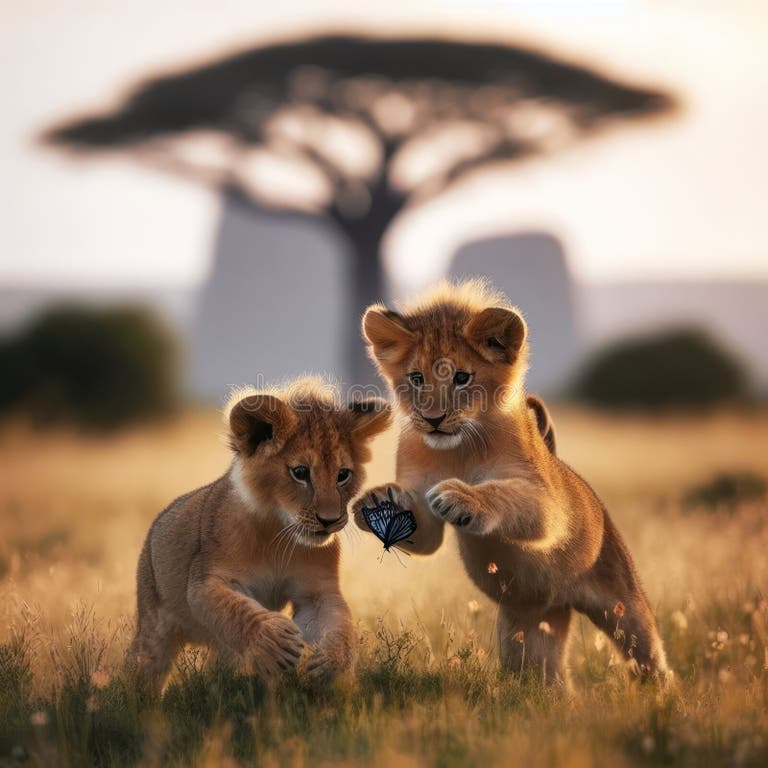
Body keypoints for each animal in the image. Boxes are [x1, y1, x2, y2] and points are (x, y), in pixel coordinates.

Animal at [127, 376, 391, 693]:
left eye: (343, 475)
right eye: (300, 472)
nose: (329, 521)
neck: (279, 532)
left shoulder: (316, 591)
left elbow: (339, 625)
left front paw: (332, 665)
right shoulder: (205, 581)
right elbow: (234, 611)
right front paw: (275, 644)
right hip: (153, 625)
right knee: (145, 666)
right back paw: (134, 700)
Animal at [353, 280, 668, 685]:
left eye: (462, 378)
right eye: (416, 378)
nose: (433, 420)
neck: (459, 449)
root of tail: (564, 598)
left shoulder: (547, 502)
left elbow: (505, 495)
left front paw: (463, 498)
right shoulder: (422, 507)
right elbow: (422, 532)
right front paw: (376, 502)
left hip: (622, 600)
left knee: (646, 651)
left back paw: (662, 693)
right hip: (528, 627)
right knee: (545, 677)